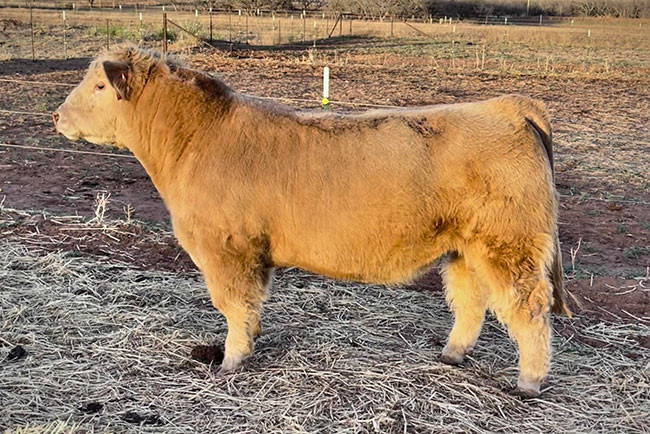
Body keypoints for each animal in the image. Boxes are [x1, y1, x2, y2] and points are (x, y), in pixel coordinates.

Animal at [54, 46, 571, 397]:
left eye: (99, 85)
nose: (56, 115)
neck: (196, 140)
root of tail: (506, 106)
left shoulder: (227, 249)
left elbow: (234, 306)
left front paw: (231, 361)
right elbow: (250, 308)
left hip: (510, 246)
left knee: (528, 308)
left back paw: (528, 381)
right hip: (464, 248)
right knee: (471, 302)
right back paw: (450, 356)